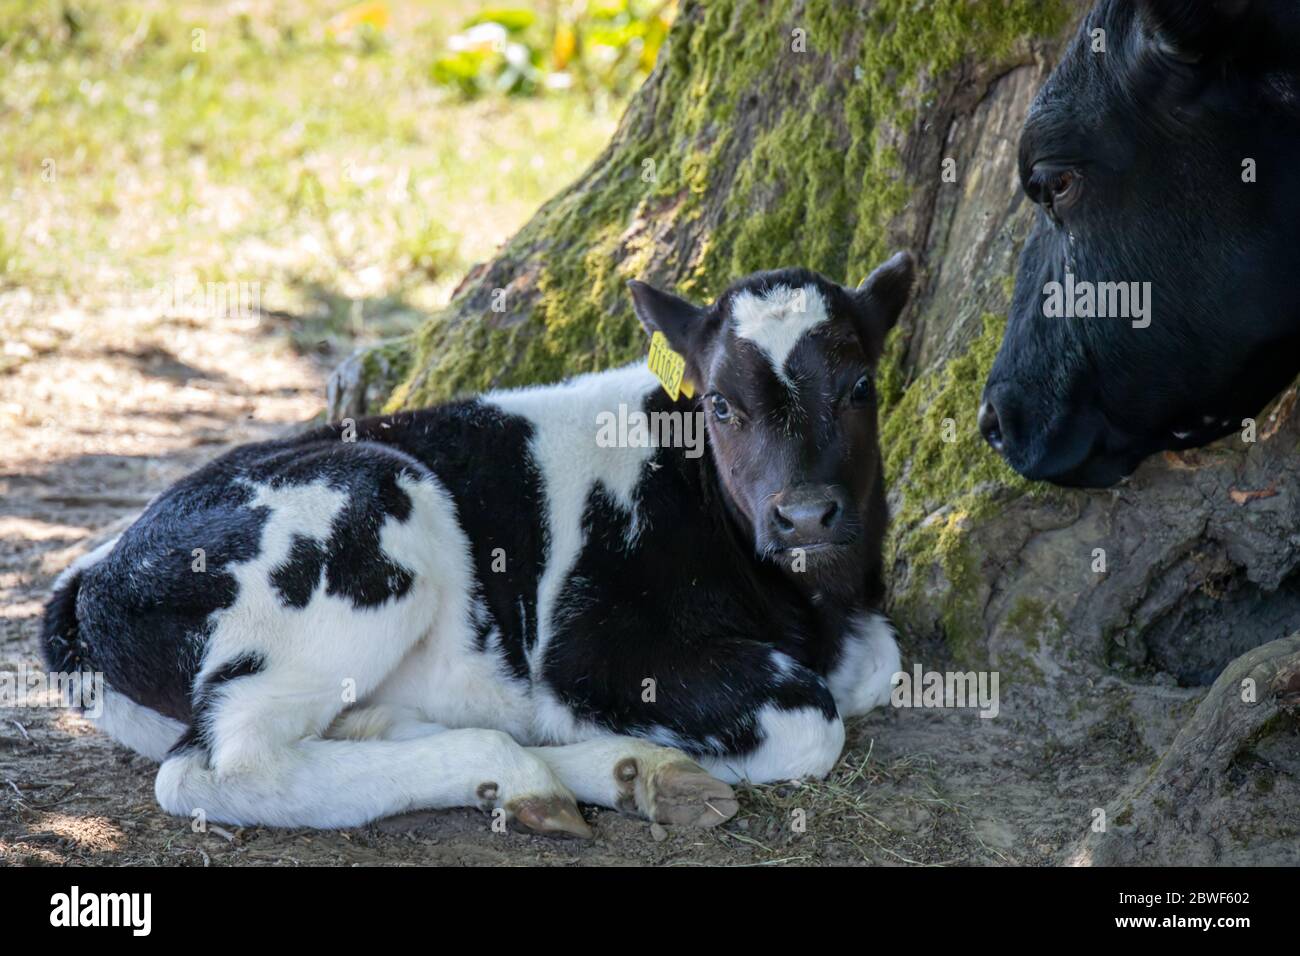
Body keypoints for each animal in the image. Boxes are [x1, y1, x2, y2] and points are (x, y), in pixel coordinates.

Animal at [40, 252, 915, 836]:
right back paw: (524, 768)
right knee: (222, 763)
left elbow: (882, 664)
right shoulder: (591, 652)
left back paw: (625, 773)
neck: (808, 606)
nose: (805, 516)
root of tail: (89, 575)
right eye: (722, 405)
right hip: (369, 508)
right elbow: (812, 719)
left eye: (861, 386)